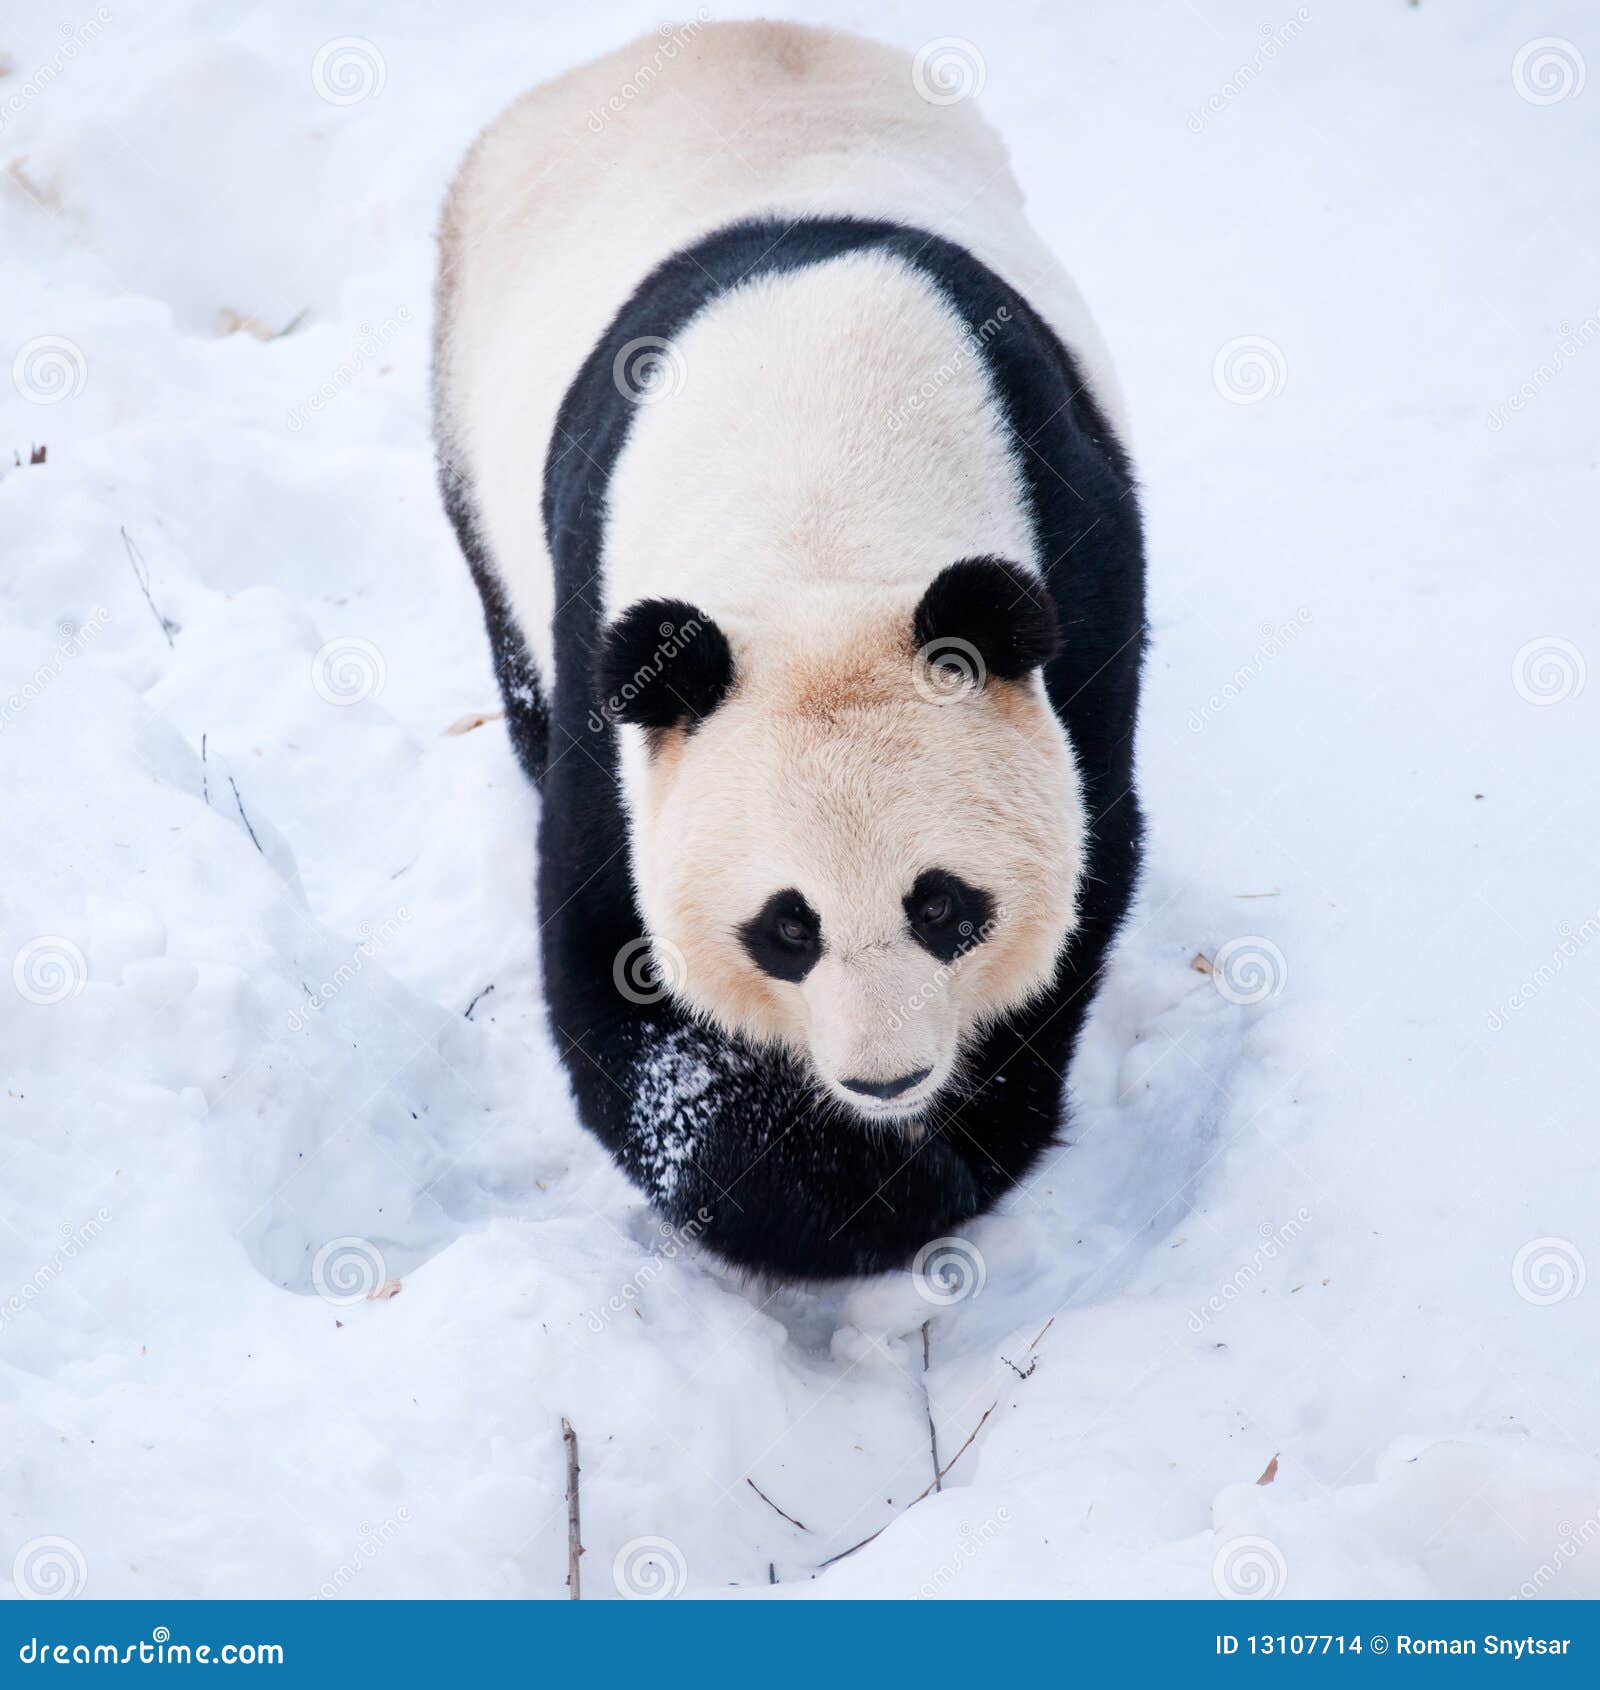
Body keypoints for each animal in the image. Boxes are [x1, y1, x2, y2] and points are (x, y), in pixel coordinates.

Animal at [432, 21, 1146, 1281]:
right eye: (786, 926)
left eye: (943, 904)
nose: (886, 1076)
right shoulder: (616, 657)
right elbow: (619, 967)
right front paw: (853, 1190)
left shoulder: (1076, 561)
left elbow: (1086, 867)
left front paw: (955, 1148)